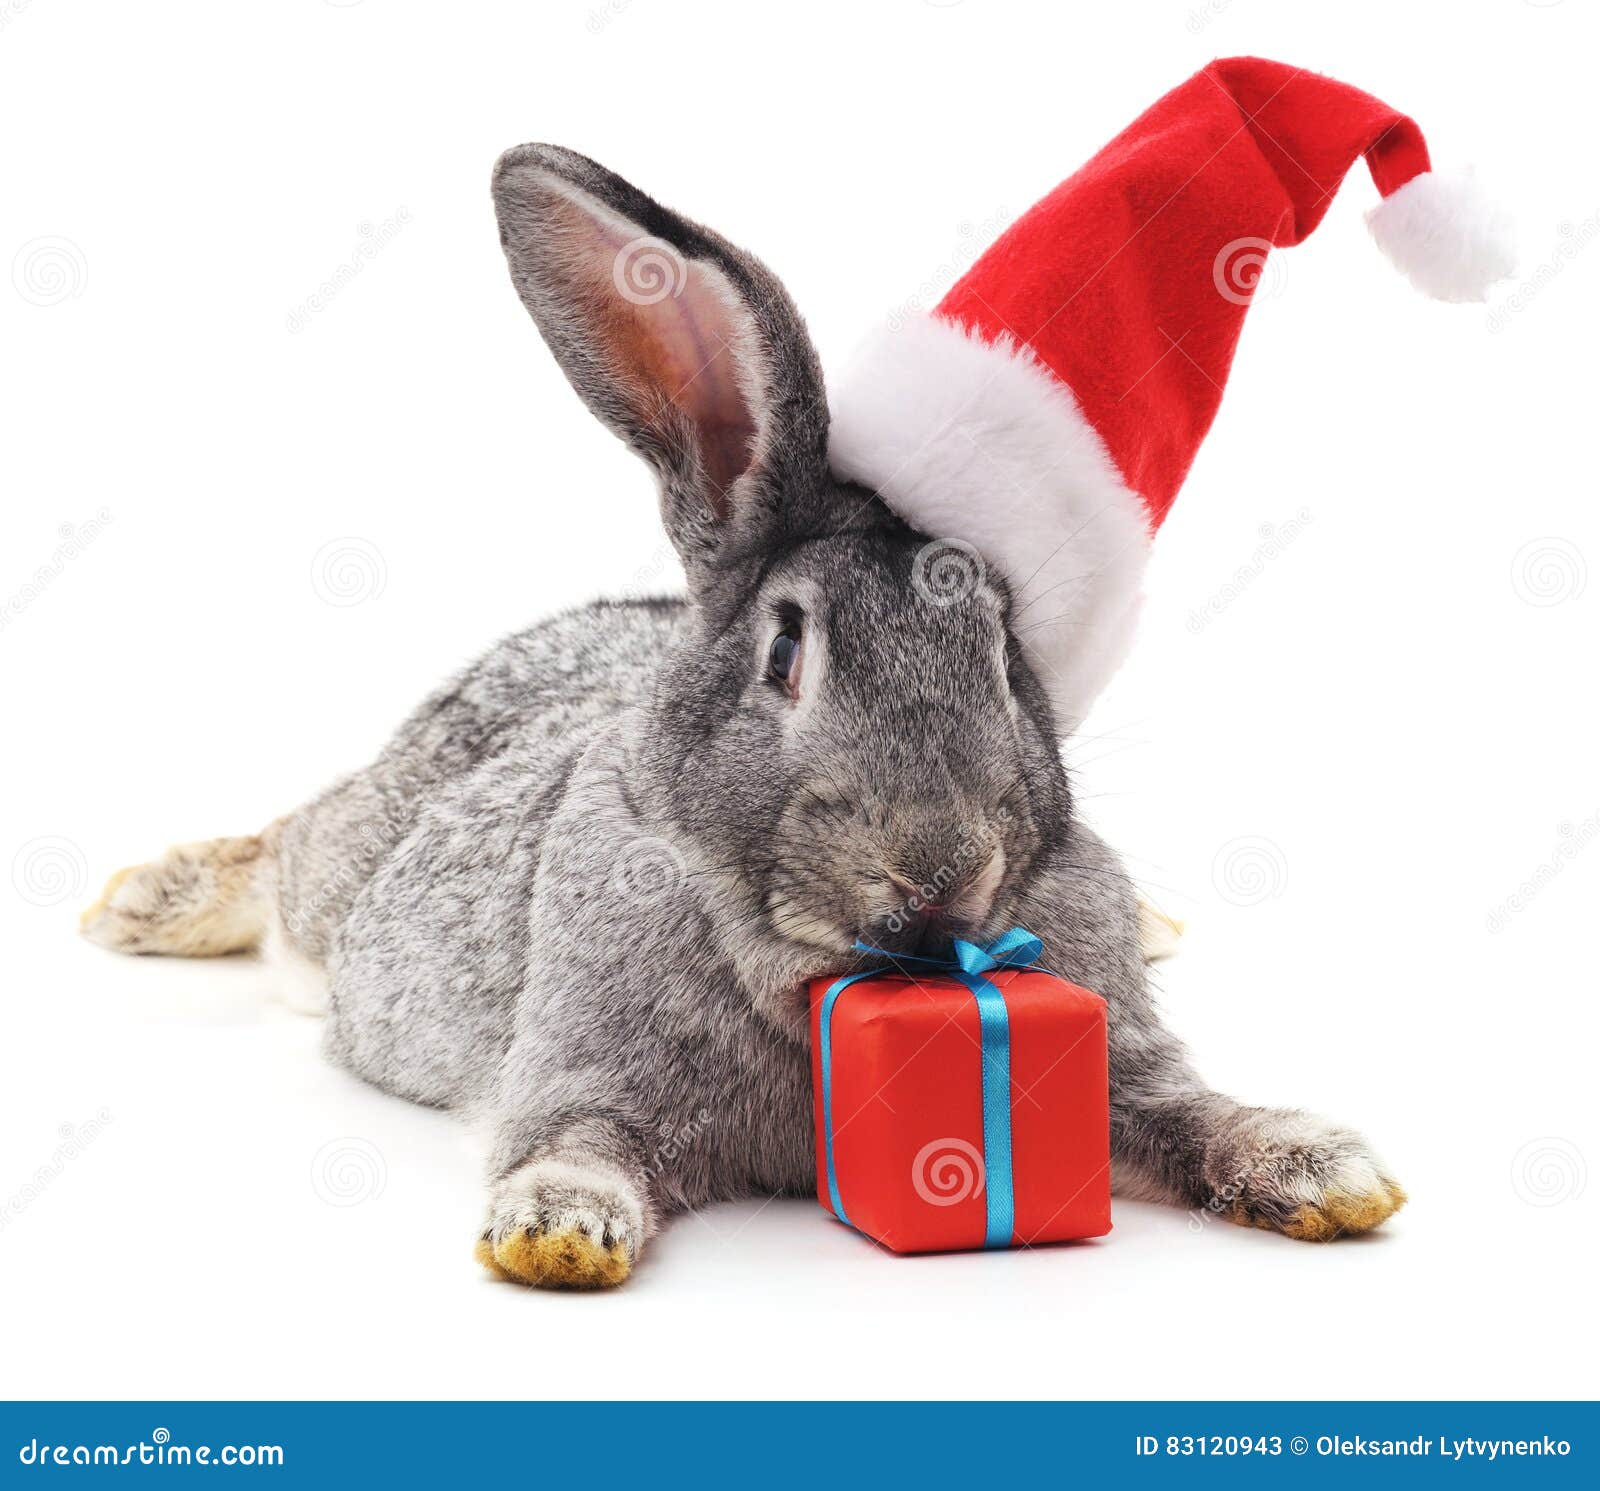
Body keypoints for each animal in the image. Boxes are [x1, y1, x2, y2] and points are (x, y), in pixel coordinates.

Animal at [80, 143, 1404, 1288]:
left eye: (1003, 654)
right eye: (785, 650)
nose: (938, 868)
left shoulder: (1121, 1060)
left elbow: (1184, 1108)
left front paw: (1328, 1171)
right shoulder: (580, 1061)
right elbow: (573, 1136)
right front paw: (555, 1236)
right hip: (344, 866)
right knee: (286, 847)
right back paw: (140, 902)